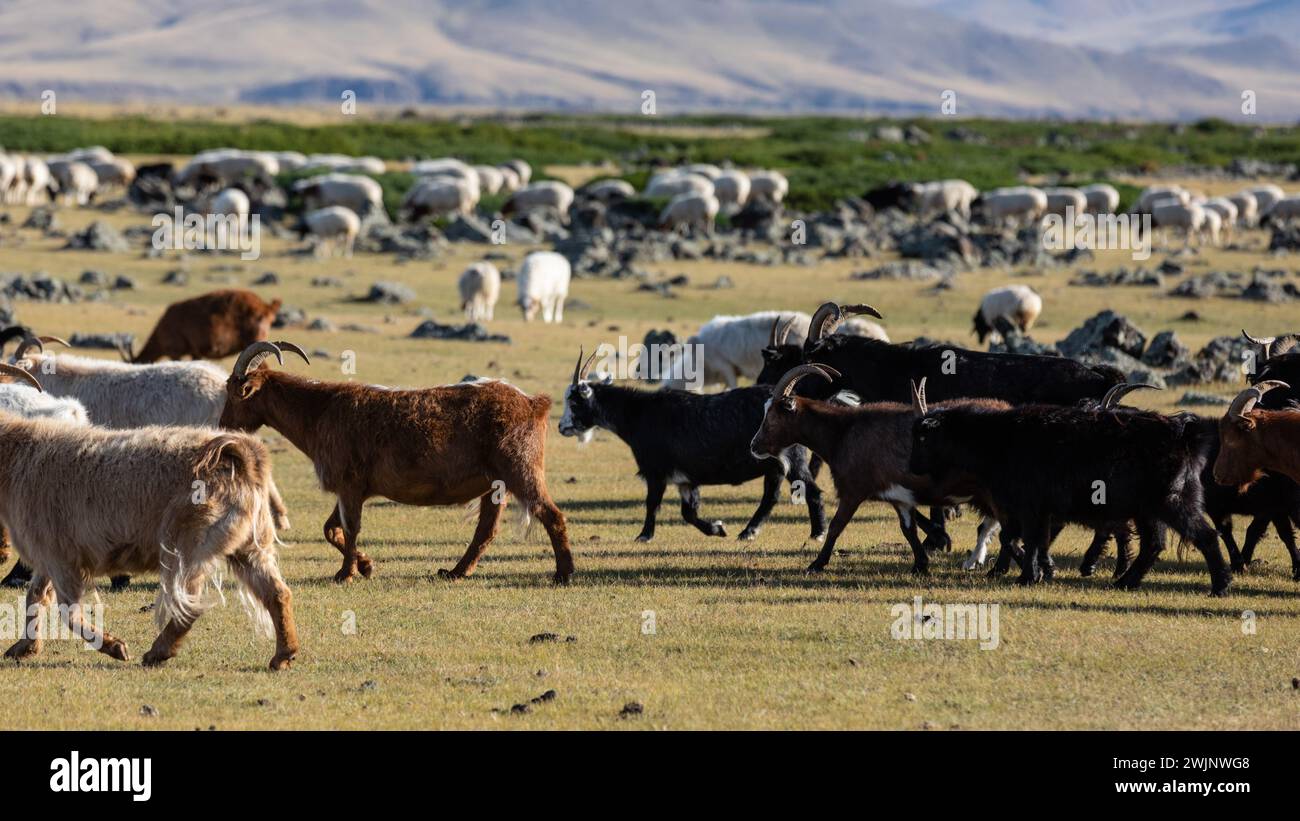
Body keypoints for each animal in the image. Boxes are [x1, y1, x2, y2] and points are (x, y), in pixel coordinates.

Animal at [0, 413, 296, 669]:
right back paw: (284, 654)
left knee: (190, 604)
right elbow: (36, 597)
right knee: (277, 592)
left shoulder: (59, 556)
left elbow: (67, 611)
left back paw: (158, 652)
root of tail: (238, 453)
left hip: (187, 545)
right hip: (251, 545)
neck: (18, 456)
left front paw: (114, 647)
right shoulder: (46, 555)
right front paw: (24, 647)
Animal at [219, 341, 574, 584]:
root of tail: (534, 403)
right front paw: (365, 565)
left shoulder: (350, 484)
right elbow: (331, 528)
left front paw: (345, 573)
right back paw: (455, 572)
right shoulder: (351, 489)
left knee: (551, 514)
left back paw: (563, 573)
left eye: (236, 392)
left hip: (520, 468)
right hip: (494, 483)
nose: (223, 425)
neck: (320, 410)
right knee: (486, 529)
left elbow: (349, 528)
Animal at [558, 349, 826, 544]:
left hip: (792, 458)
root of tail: (795, 401)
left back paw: (817, 533)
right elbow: (688, 513)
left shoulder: (656, 472)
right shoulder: (686, 479)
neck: (639, 413)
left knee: (811, 490)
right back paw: (748, 532)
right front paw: (718, 529)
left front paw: (644, 536)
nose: (562, 427)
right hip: (774, 466)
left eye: (575, 402)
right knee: (770, 496)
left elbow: (652, 504)